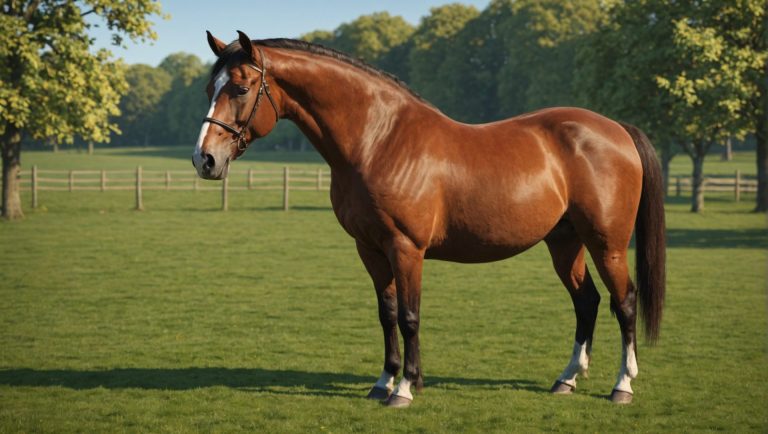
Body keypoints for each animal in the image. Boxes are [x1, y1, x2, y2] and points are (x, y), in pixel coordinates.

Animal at [192, 31, 666, 408]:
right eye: (209, 87)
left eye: (240, 88)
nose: (205, 159)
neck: (379, 139)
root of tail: (617, 129)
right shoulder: (370, 249)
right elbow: (386, 315)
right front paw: (384, 382)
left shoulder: (406, 248)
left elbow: (409, 316)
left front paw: (404, 389)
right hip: (565, 242)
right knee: (587, 302)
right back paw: (566, 379)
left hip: (607, 243)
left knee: (624, 302)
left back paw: (622, 386)